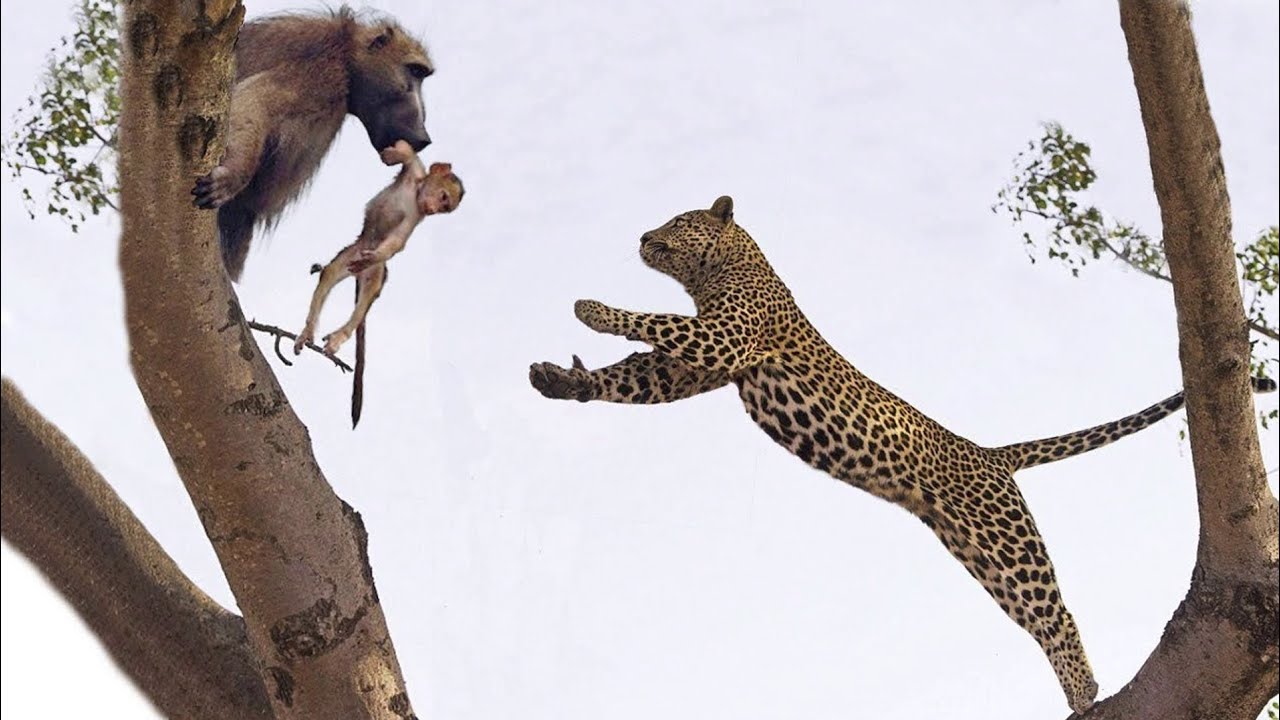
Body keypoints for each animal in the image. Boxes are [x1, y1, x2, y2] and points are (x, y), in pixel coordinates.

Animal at [191, 7, 435, 281]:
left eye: (422, 74)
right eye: (415, 71)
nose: (423, 138)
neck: (346, 51)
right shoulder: (321, 75)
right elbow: (253, 102)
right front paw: (231, 176)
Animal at [293, 140, 465, 426]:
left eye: (445, 208)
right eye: (443, 197)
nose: (432, 209)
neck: (415, 191)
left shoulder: (414, 217)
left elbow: (396, 243)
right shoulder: (415, 170)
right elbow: (408, 156)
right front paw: (396, 152)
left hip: (374, 270)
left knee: (368, 291)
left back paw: (341, 334)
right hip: (354, 251)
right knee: (330, 274)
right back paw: (308, 330)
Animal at [528, 195, 1278, 714]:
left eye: (679, 219)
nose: (642, 236)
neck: (722, 268)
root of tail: (988, 452)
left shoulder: (728, 338)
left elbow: (653, 321)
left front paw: (591, 307)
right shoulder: (694, 365)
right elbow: (635, 374)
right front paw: (563, 380)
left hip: (1007, 541)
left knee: (1059, 613)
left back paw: (1085, 697)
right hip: (978, 555)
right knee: (1039, 620)